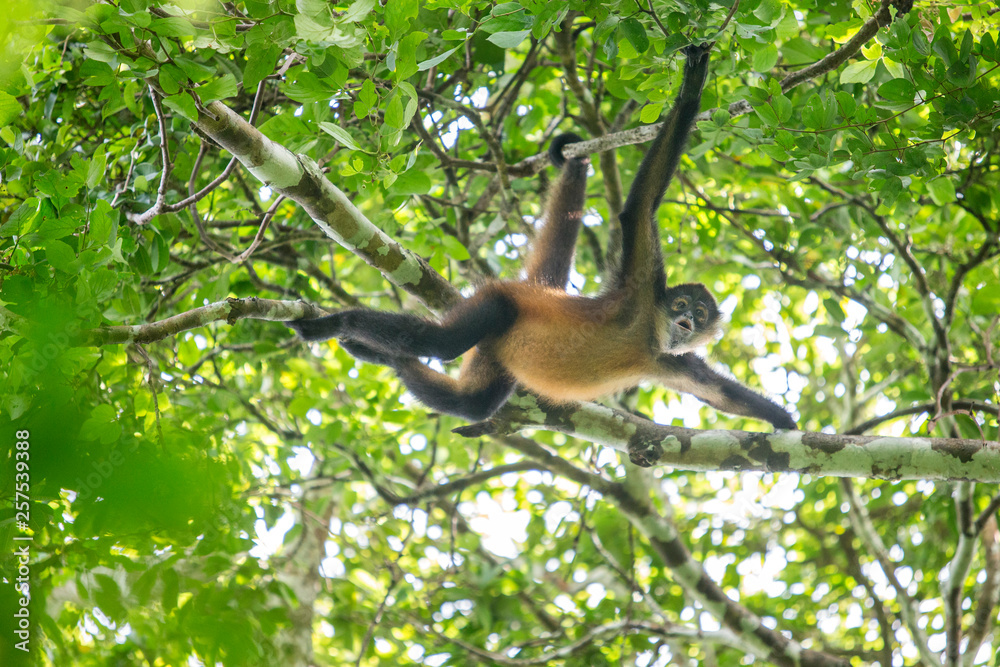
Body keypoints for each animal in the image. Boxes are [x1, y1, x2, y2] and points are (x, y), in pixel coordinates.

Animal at [287, 43, 797, 432]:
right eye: (682, 304)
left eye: (702, 314)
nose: (688, 319)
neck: (649, 336)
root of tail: (536, 290)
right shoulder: (640, 287)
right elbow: (639, 206)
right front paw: (691, 87)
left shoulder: (674, 362)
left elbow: (722, 396)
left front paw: (785, 423)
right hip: (500, 303)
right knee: (441, 343)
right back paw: (340, 325)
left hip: (494, 355)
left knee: (470, 400)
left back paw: (383, 359)